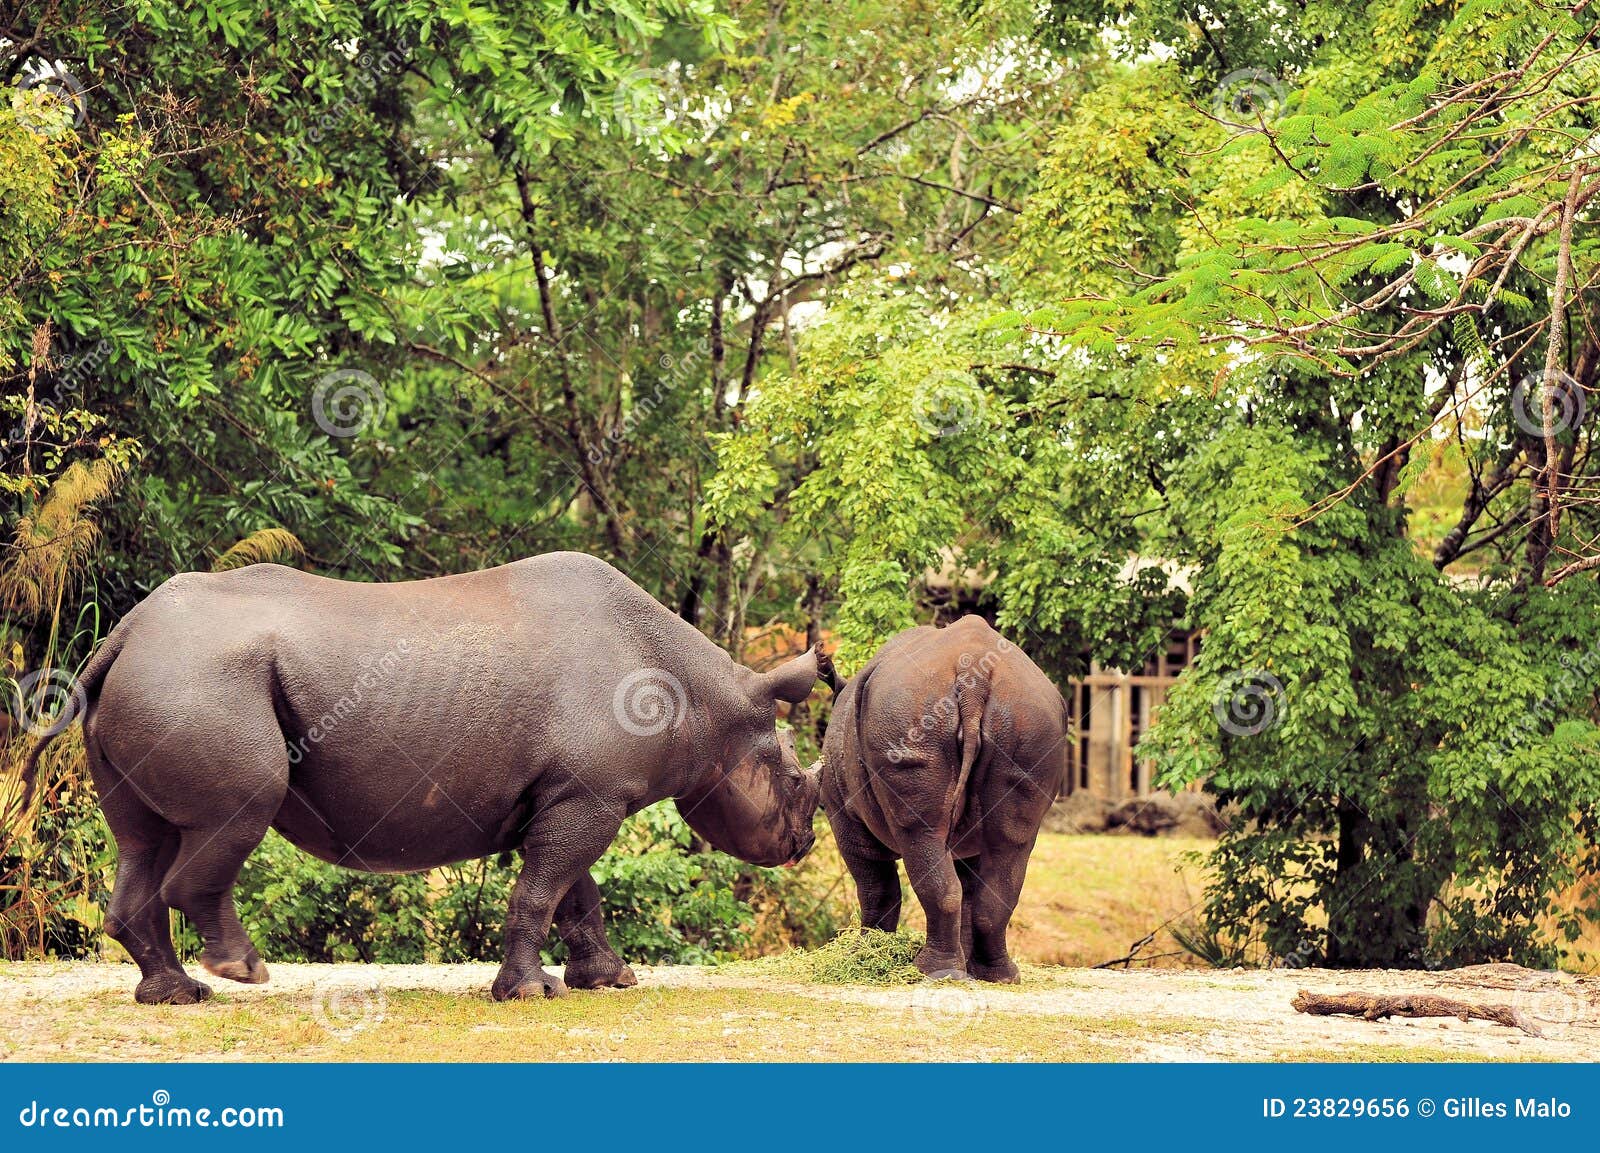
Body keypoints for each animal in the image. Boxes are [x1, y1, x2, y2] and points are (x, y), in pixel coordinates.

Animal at [21, 551, 823, 1004]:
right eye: (790, 780)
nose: (805, 844)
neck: (707, 696)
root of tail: (125, 632)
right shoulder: (589, 795)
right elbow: (545, 890)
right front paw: (530, 994)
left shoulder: (571, 792)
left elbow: (573, 892)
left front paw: (609, 981)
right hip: (199, 677)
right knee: (237, 811)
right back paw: (242, 973)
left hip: (161, 675)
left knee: (141, 839)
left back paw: (175, 996)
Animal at [819, 616, 1067, 981]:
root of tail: (973, 677)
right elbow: (969, 884)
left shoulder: (842, 812)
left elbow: (875, 885)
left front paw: (864, 954)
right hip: (1029, 719)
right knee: (1009, 844)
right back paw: (997, 976)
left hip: (913, 715)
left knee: (920, 833)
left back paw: (930, 972)